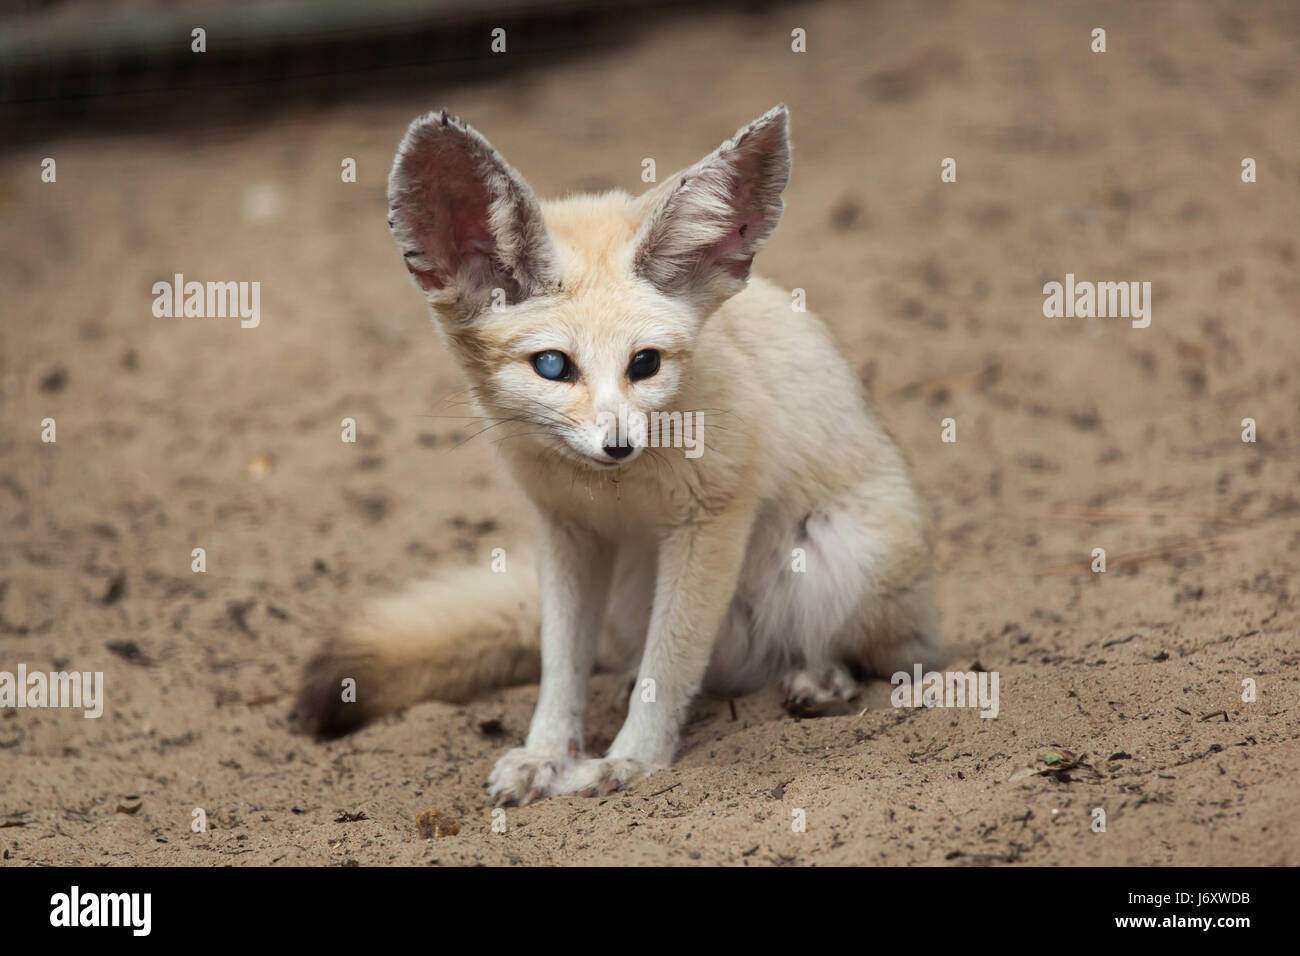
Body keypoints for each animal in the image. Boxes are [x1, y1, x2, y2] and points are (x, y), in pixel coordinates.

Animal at [294, 105, 942, 805]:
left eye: (645, 364)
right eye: (553, 366)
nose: (619, 445)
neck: (613, 492)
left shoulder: (712, 518)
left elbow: (673, 660)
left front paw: (631, 760)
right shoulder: (568, 530)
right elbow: (562, 665)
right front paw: (546, 754)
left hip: (838, 556)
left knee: (877, 656)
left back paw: (823, 680)